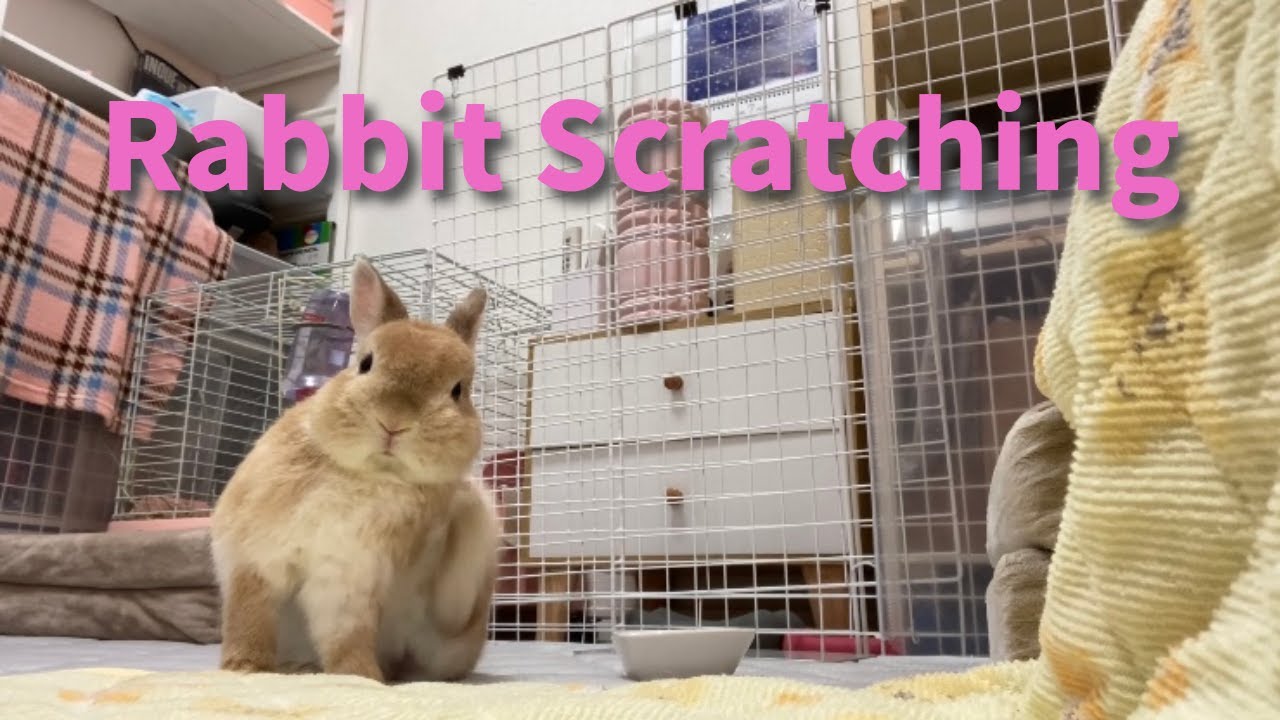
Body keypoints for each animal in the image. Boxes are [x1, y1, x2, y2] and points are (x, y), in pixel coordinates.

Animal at [210, 256, 499, 684]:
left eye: (458, 390)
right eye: (365, 363)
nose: (394, 423)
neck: (365, 475)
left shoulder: (348, 577)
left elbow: (346, 635)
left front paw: (361, 678)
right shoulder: (258, 557)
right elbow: (250, 616)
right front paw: (245, 669)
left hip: (457, 620)